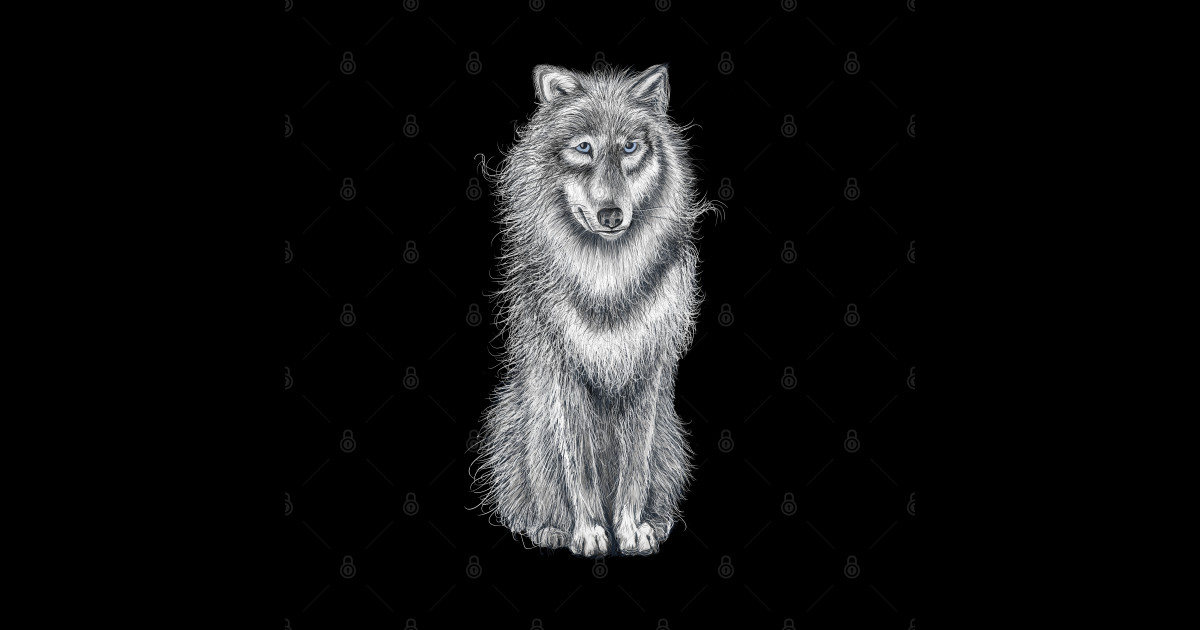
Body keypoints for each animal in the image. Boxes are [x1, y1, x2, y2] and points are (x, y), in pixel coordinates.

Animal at [472, 63, 712, 557]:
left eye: (630, 147)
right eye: (584, 147)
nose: (610, 216)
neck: (607, 281)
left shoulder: (646, 373)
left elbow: (634, 467)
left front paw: (632, 531)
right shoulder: (565, 374)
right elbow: (577, 466)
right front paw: (589, 533)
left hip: (668, 436)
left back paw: (657, 524)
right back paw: (549, 530)